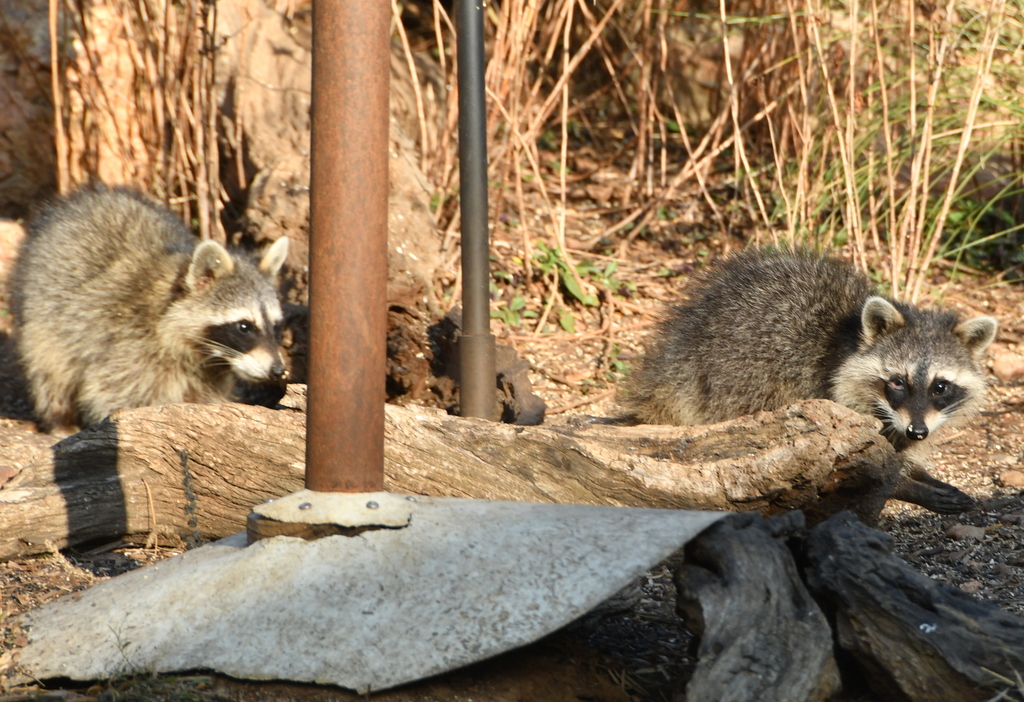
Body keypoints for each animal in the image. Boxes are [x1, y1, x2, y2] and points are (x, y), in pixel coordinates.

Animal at [10, 187, 290, 430]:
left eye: (276, 326)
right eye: (244, 327)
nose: (278, 370)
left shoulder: (207, 373)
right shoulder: (129, 346)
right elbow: (118, 395)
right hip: (42, 312)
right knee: (51, 366)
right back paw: (60, 417)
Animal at [624, 248, 998, 513]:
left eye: (940, 386)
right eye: (897, 382)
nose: (917, 432)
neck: (851, 340)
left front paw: (920, 473)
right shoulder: (825, 392)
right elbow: (862, 465)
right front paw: (907, 486)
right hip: (735, 372)